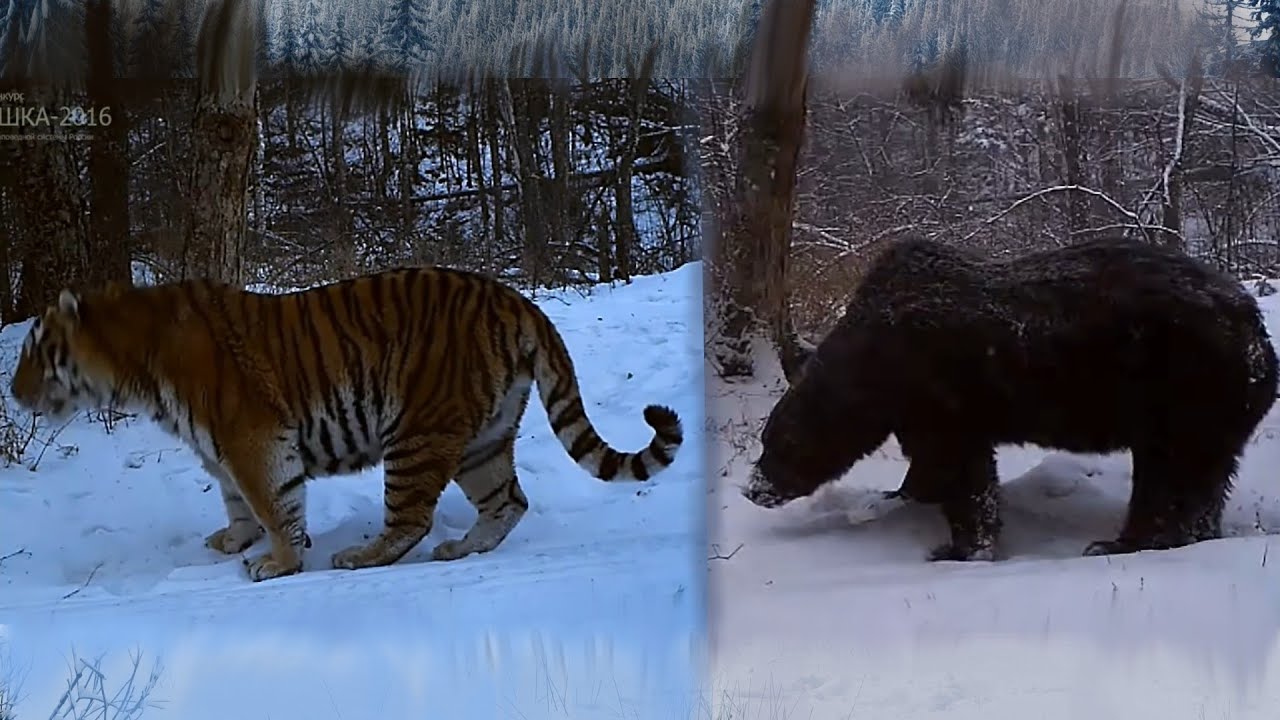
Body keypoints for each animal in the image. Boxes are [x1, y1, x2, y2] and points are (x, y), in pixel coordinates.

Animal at [8, 267, 684, 582]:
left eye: (37, 352)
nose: (13, 395)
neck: (134, 364)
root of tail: (518, 301)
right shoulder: (219, 449)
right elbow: (236, 502)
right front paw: (232, 540)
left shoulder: (253, 439)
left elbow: (274, 505)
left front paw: (277, 562)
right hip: (482, 441)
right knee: (509, 501)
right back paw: (462, 549)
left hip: (416, 431)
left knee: (411, 518)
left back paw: (361, 556)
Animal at [743, 235, 1279, 561]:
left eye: (777, 444)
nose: (753, 489)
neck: (876, 363)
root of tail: (1255, 329)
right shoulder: (917, 408)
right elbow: (932, 465)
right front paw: (897, 497)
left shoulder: (939, 389)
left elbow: (962, 470)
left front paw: (958, 547)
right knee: (1202, 475)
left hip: (1184, 384)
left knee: (1171, 473)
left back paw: (1121, 541)